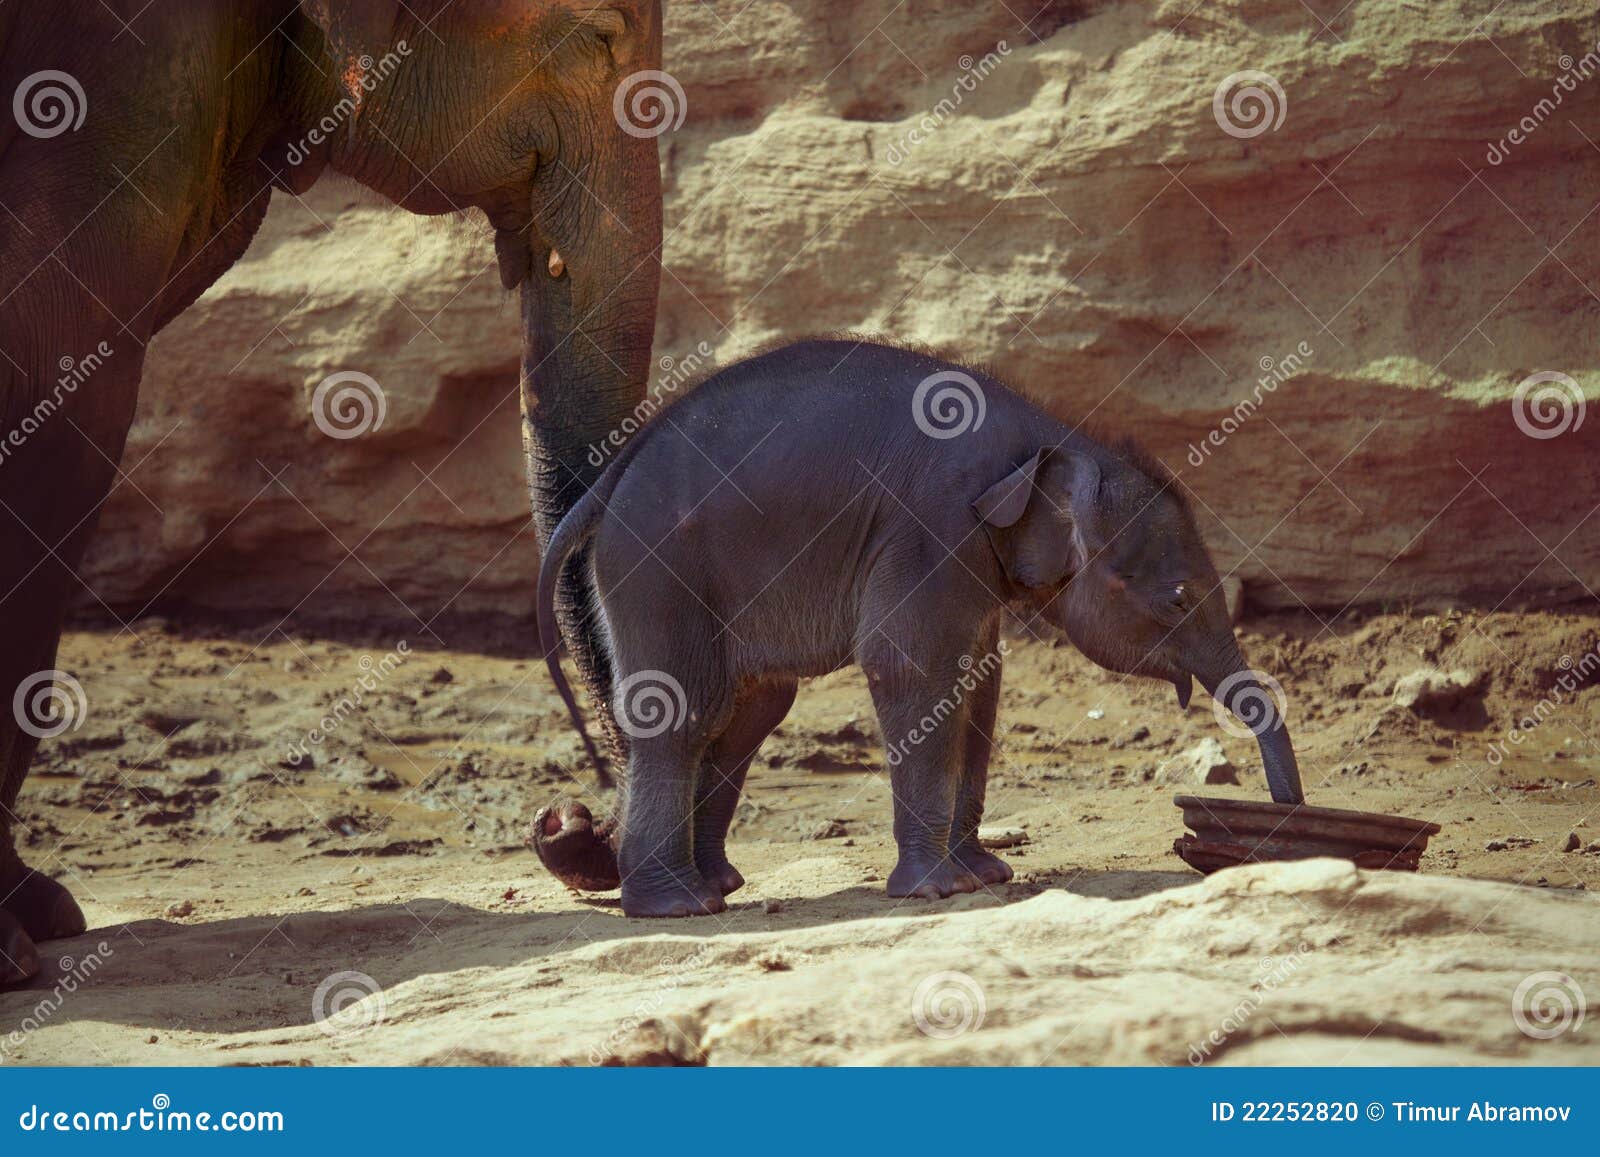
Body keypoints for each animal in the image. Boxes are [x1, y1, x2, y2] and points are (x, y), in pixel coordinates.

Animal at [0, 0, 663, 983]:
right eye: (601, 35)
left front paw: (39, 912)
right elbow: (56, 398)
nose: (570, 823)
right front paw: (12, 943)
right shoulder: (102, 87)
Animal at [529, 338, 1304, 917]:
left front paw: (985, 876)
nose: (1286, 813)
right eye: (1176, 599)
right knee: (685, 711)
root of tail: (609, 478)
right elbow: (911, 666)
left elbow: (979, 687)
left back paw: (718, 886)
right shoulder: (931, 525)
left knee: (750, 711)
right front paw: (939, 891)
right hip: (658, 573)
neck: (1050, 437)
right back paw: (679, 906)